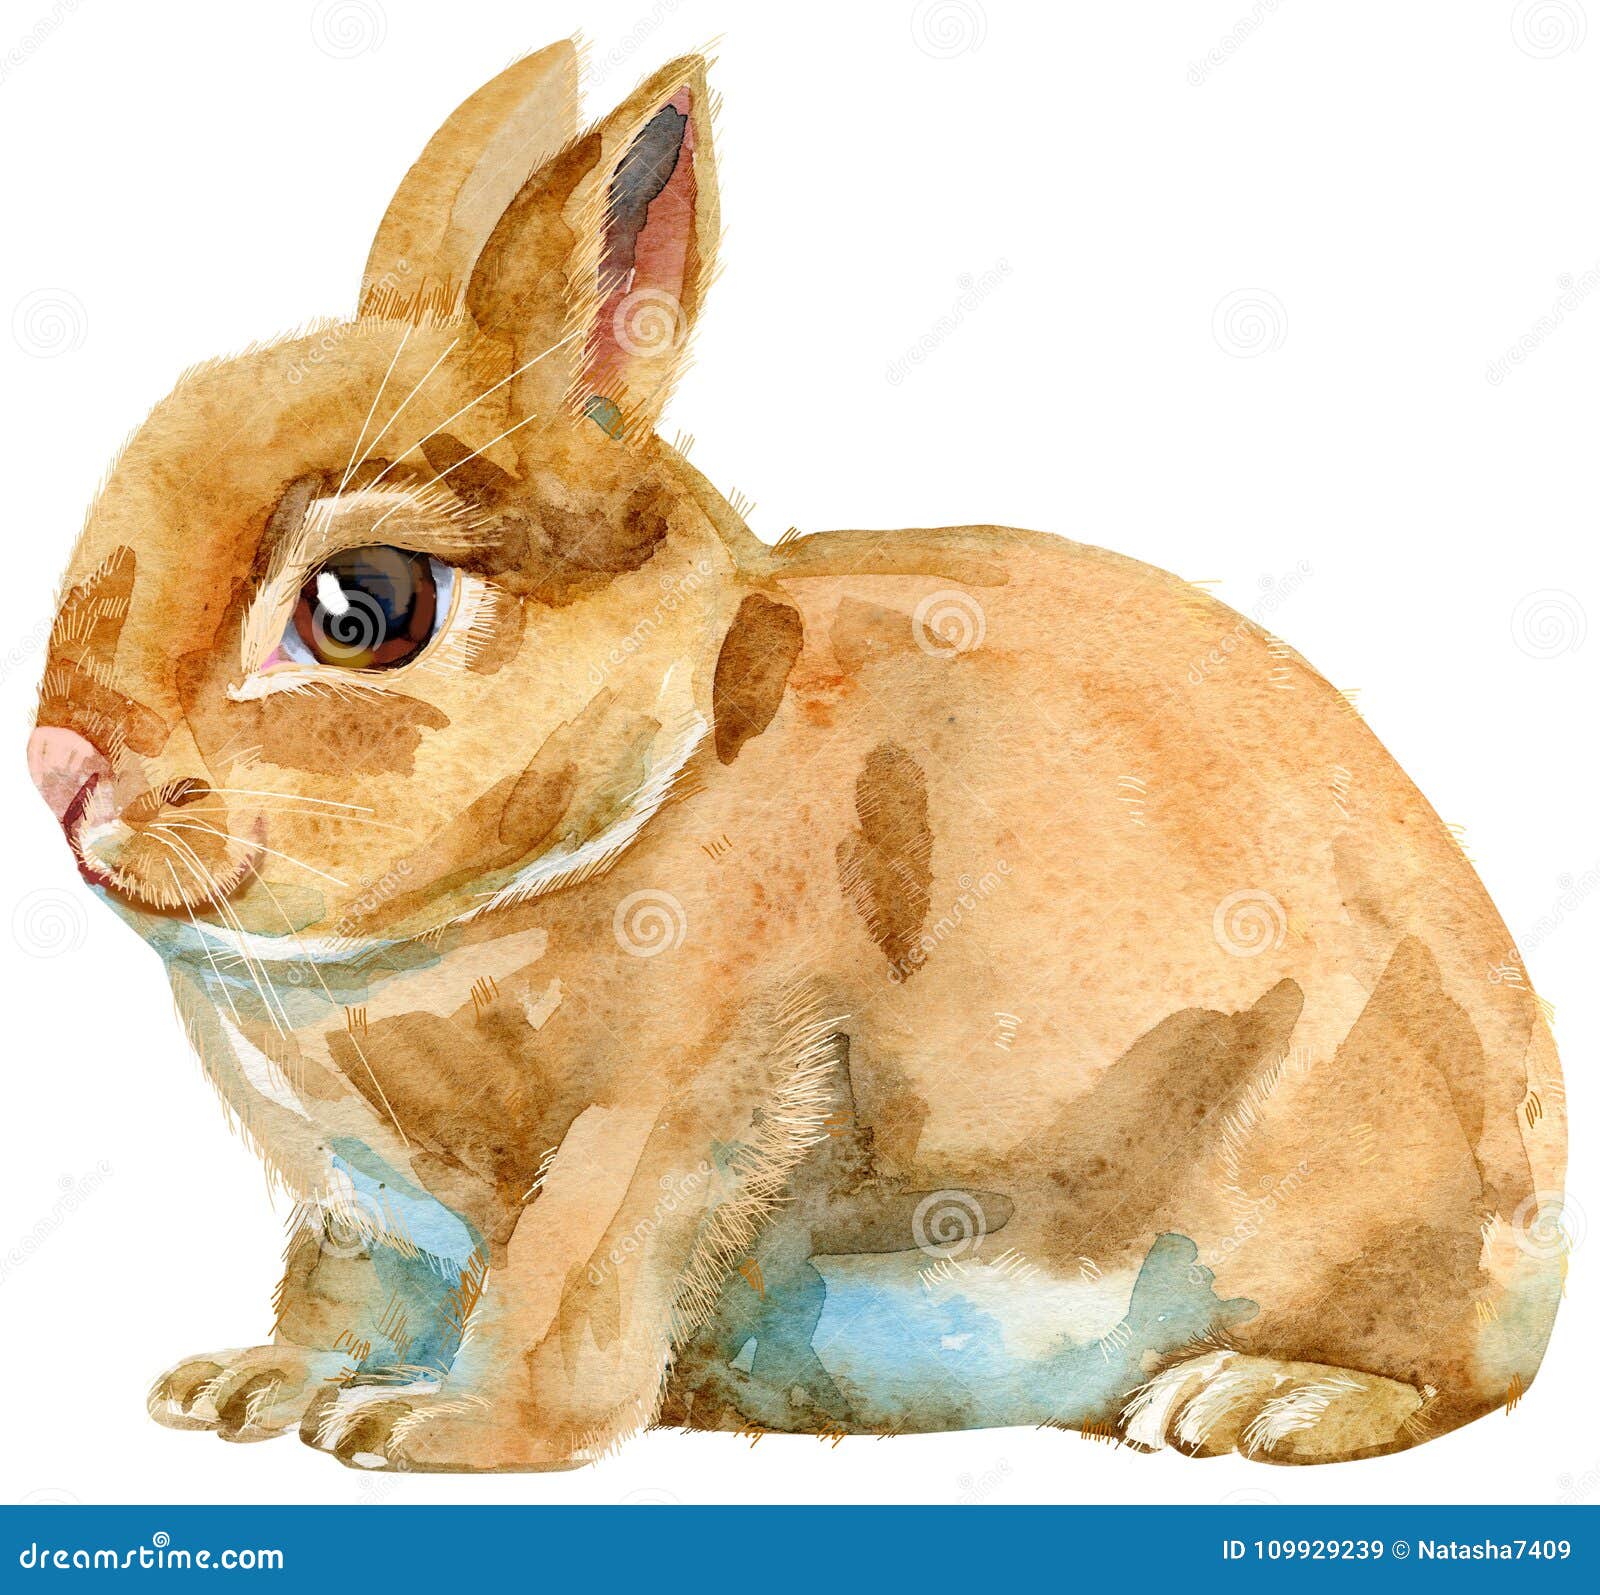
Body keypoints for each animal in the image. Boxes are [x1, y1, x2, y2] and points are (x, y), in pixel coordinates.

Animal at [28, 40, 1565, 1472]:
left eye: (364, 609)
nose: (58, 766)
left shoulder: (683, 1091)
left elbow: (564, 1278)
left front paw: (438, 1428)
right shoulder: (360, 1206)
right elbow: (339, 1284)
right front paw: (249, 1386)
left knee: (1449, 1377)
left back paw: (1257, 1397)